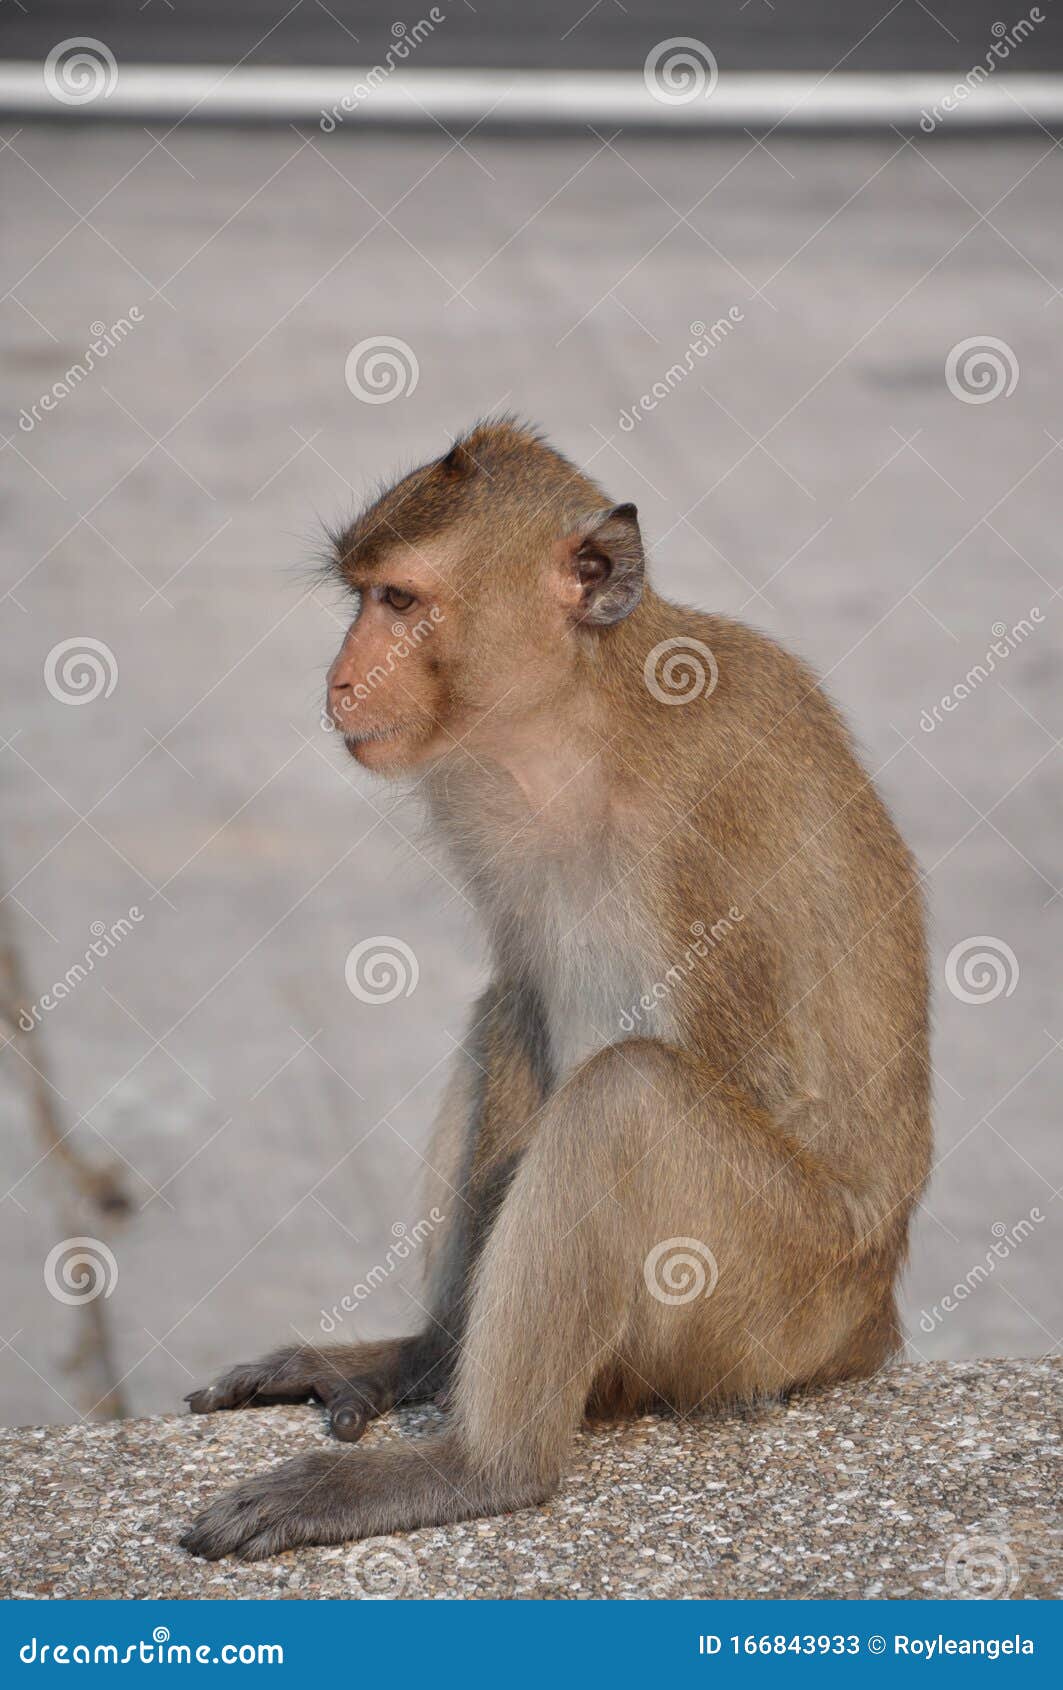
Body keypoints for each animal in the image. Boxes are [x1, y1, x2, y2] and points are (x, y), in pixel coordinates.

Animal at [181, 417, 930, 1560]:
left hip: (776, 1310)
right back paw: (433, 1358)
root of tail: (870, 1318)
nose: (342, 680)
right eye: (361, 597)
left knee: (627, 1097)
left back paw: (482, 1465)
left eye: (397, 600)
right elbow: (524, 1008)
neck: (583, 722)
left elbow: (755, 1080)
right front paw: (425, 1357)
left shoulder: (716, 809)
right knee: (512, 1023)